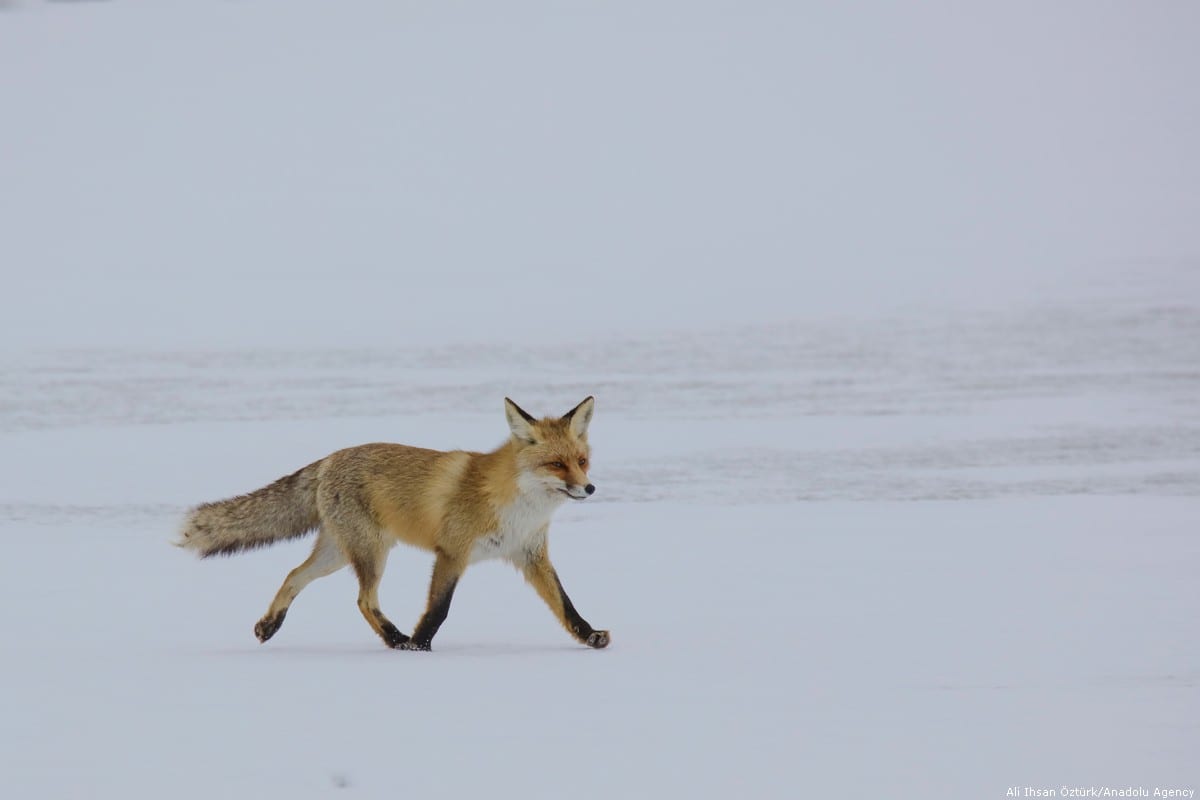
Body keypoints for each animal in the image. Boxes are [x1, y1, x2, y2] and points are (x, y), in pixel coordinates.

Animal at [177, 396, 608, 652]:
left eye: (581, 461)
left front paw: (589, 636)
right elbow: (438, 609)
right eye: (556, 464)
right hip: (371, 552)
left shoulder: (530, 555)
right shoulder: (452, 553)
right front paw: (419, 645)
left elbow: (565, 604)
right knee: (363, 600)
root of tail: (329, 458)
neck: (517, 505)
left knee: (293, 575)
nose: (589, 487)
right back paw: (396, 638)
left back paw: (269, 625)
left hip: (338, 554)